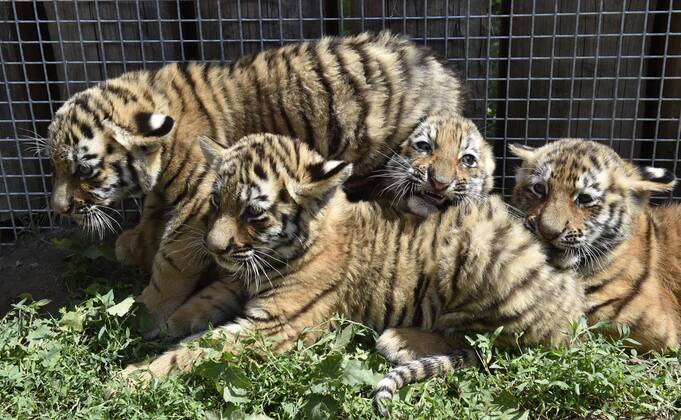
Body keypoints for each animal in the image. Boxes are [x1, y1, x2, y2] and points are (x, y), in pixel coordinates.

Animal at [46, 32, 487, 329]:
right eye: (55, 166)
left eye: (83, 170)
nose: (59, 209)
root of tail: (448, 74)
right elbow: (153, 214)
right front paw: (134, 244)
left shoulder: (198, 200)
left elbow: (172, 259)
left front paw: (144, 311)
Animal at [119, 133, 586, 418]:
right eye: (217, 202)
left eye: (253, 213)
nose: (214, 247)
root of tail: (573, 303)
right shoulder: (239, 279)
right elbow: (207, 297)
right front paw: (164, 322)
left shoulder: (275, 327)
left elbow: (199, 350)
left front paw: (133, 378)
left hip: (482, 262)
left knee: (488, 344)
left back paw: (401, 341)